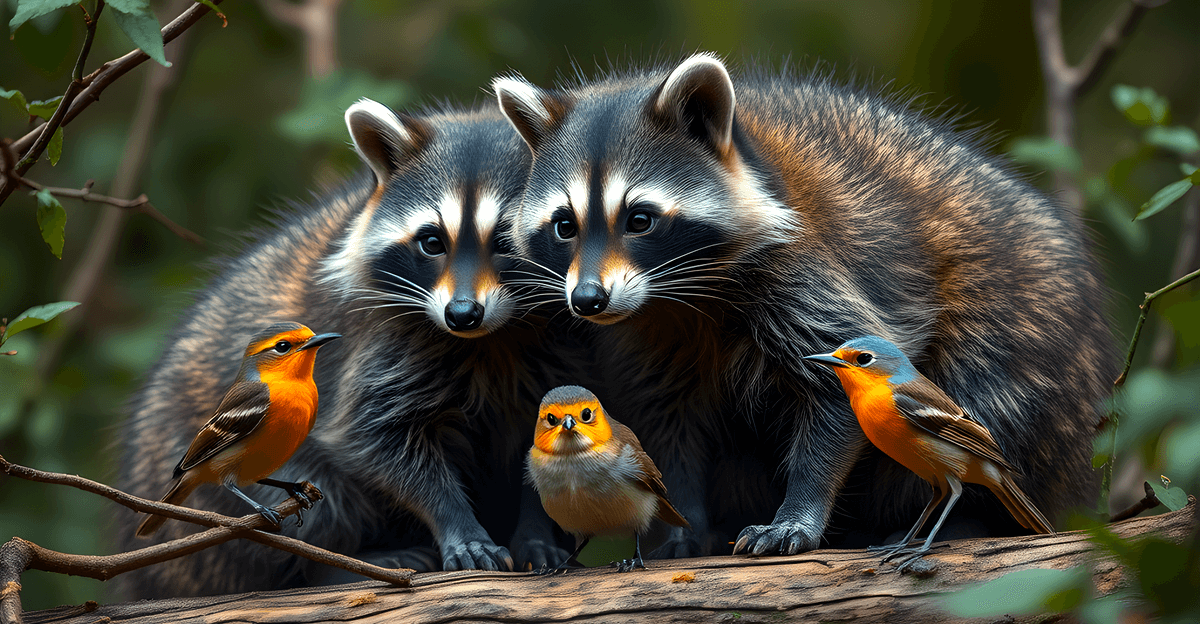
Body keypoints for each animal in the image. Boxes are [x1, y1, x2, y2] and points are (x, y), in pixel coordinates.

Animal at [117, 99, 573, 598]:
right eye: (432, 242)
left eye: (508, 241)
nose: (462, 314)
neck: (491, 337)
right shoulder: (380, 342)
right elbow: (375, 438)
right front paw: (456, 521)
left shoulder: (555, 351)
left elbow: (542, 438)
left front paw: (536, 529)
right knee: (312, 489)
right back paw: (333, 563)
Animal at [492, 54, 1114, 557]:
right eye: (565, 226)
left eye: (639, 219)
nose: (587, 300)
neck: (677, 293)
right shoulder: (644, 331)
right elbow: (668, 420)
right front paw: (680, 520)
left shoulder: (803, 269)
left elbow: (836, 388)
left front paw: (800, 511)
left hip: (1025, 327)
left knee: (986, 391)